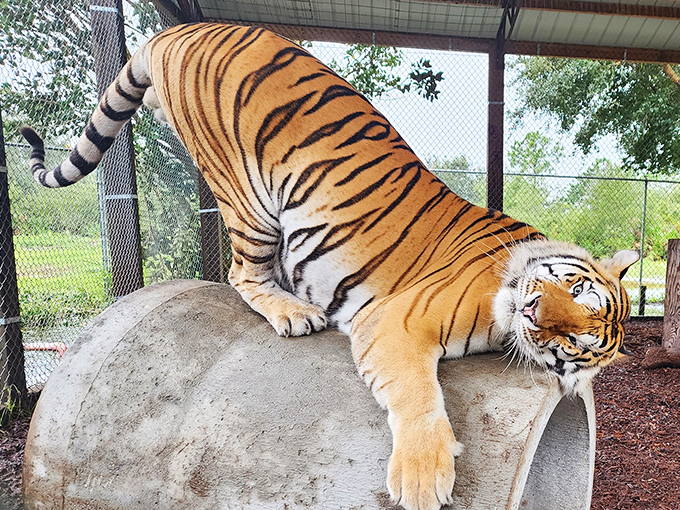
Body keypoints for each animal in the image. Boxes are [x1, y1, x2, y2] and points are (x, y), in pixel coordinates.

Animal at [20, 22, 639, 510]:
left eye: (574, 339)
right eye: (572, 287)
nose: (533, 310)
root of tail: (179, 29)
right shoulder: (395, 323)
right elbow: (419, 395)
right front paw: (422, 478)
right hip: (248, 194)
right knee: (242, 272)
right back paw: (294, 312)